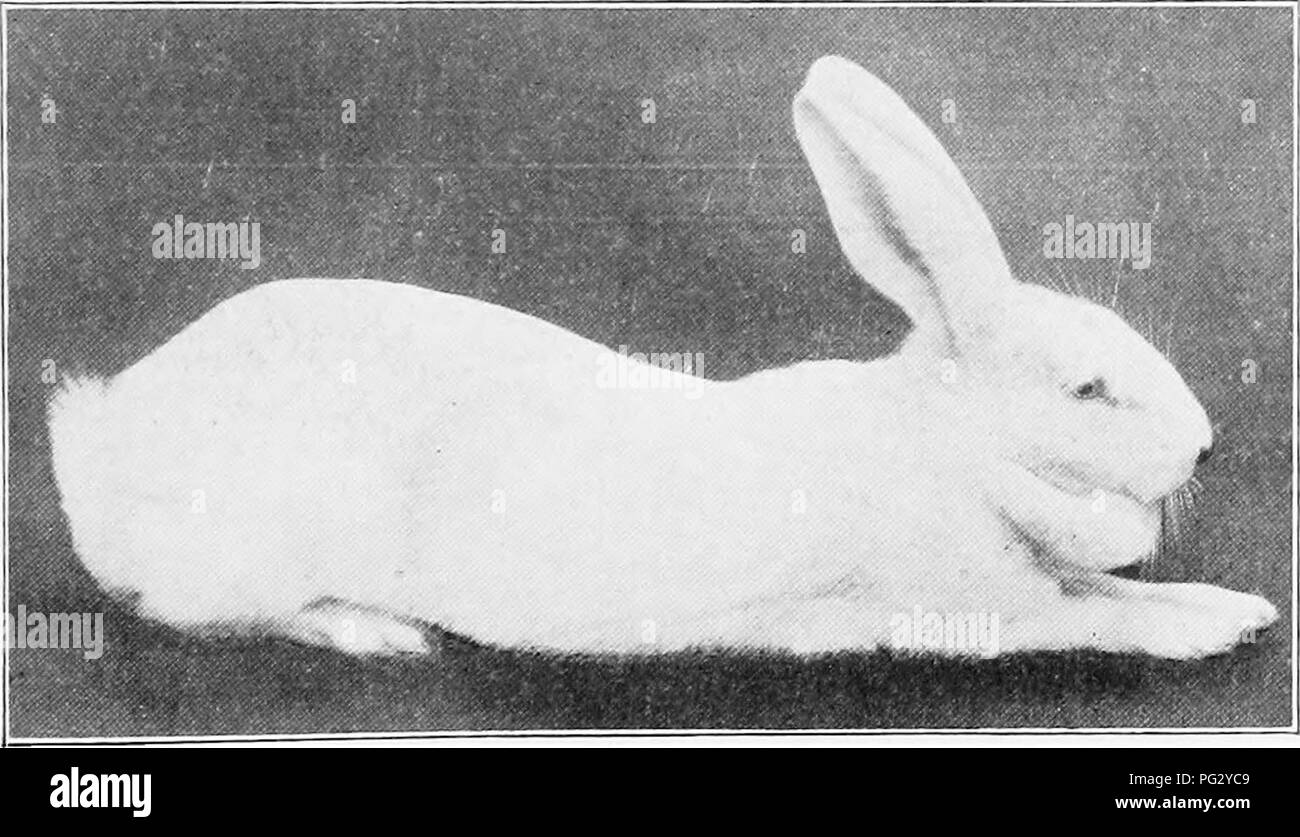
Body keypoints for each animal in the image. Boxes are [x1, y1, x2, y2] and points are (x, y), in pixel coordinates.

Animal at [48, 55, 1278, 661]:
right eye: (1088, 389)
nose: (1207, 447)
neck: (939, 446)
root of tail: (97, 438)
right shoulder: (969, 603)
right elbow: (1099, 615)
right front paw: (1219, 627)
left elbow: (1113, 585)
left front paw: (1234, 602)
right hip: (254, 544)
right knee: (198, 609)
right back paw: (379, 633)